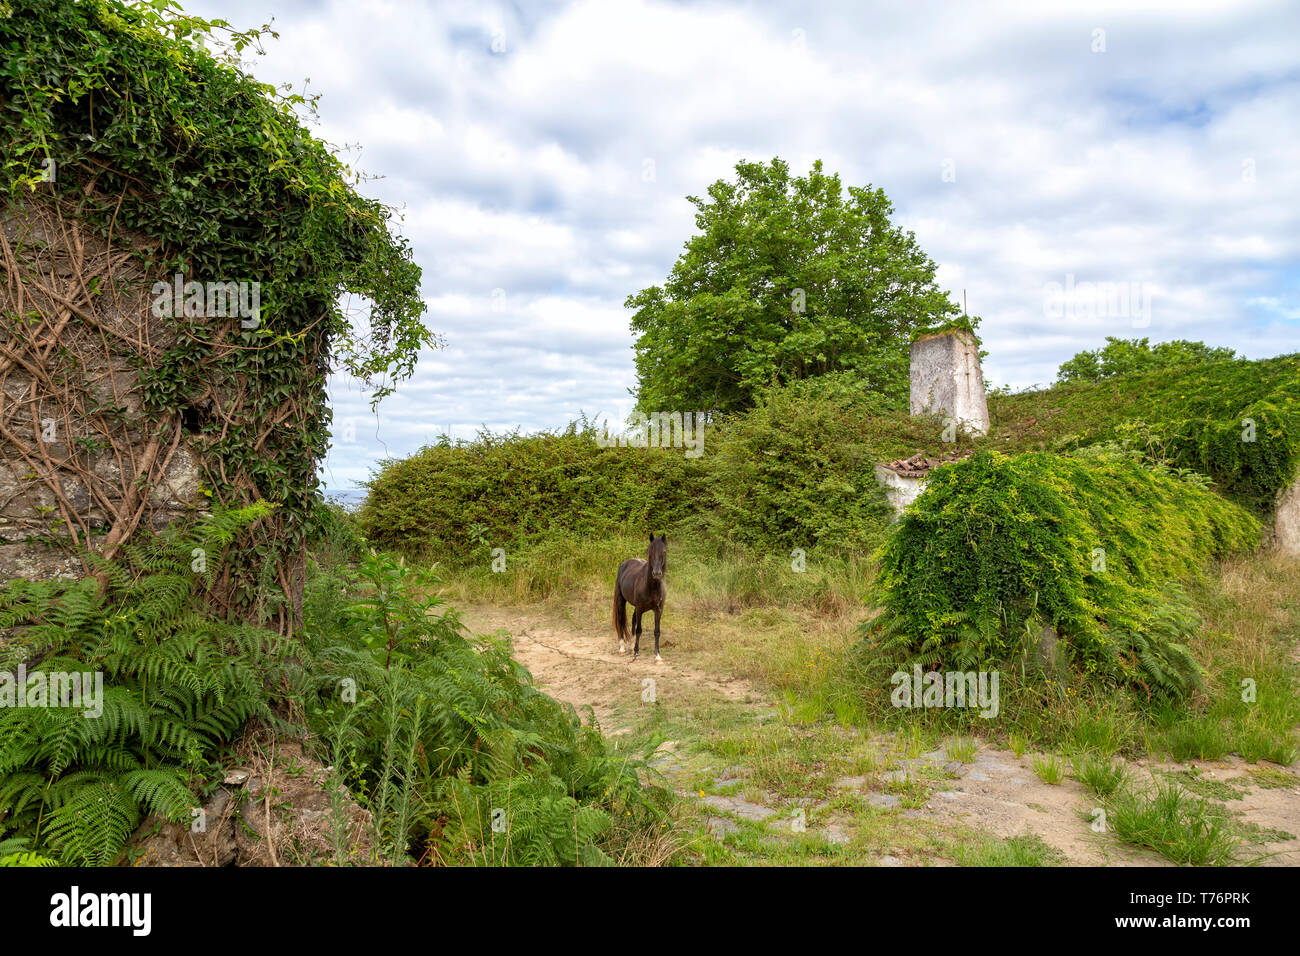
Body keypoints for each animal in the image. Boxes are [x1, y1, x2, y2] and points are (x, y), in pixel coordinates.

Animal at [613, 533, 667, 662]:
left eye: (664, 551)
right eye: (649, 551)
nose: (656, 573)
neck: (652, 587)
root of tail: (625, 563)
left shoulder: (658, 610)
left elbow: (657, 631)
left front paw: (657, 656)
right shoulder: (640, 609)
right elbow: (639, 630)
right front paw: (636, 653)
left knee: (633, 620)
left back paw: (632, 646)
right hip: (621, 601)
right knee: (621, 621)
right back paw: (622, 648)